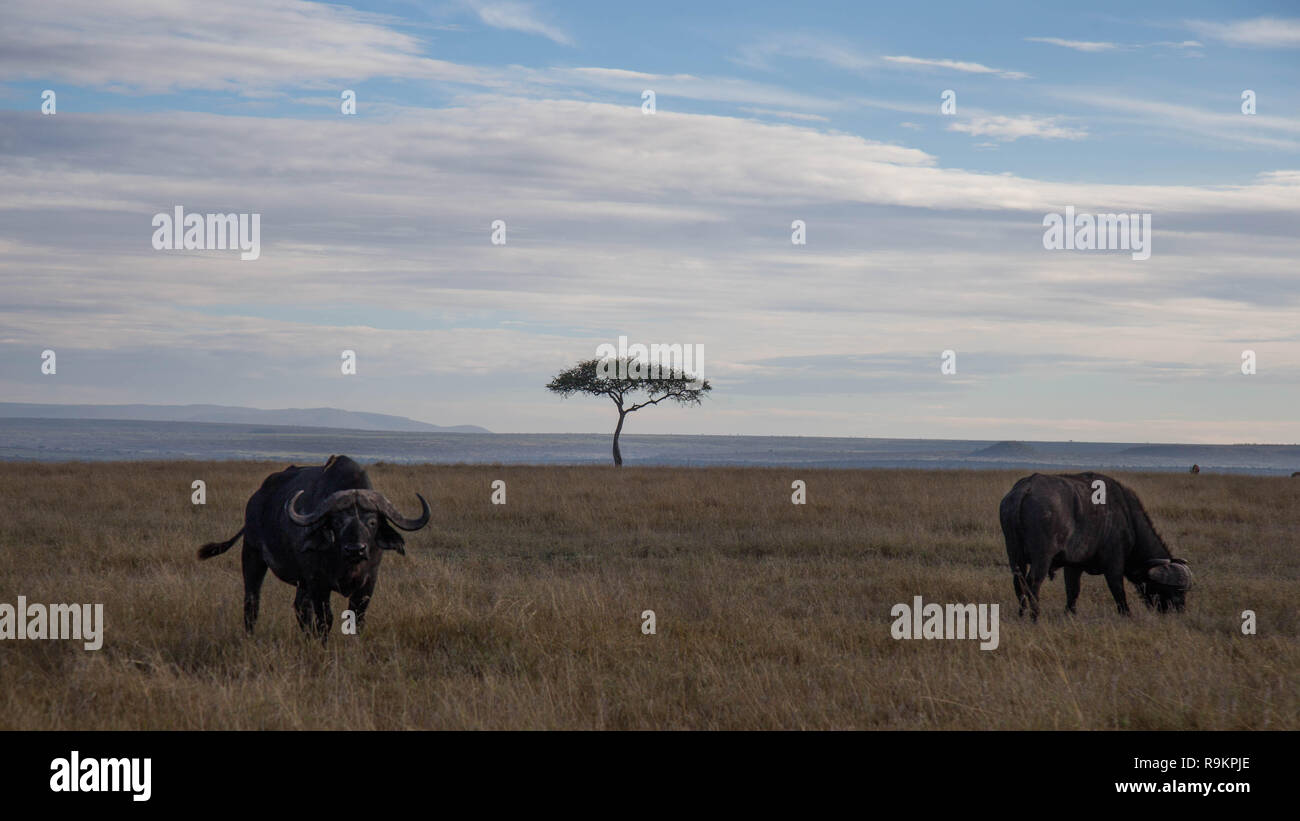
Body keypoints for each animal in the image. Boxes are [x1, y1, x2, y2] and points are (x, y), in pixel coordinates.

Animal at [197, 455, 430, 641]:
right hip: (252, 555)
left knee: (300, 608)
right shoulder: (318, 583)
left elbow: (357, 618)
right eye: (337, 522)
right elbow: (325, 619)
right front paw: (322, 644)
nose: (356, 549)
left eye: (372, 522)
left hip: (301, 581)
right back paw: (250, 636)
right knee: (252, 601)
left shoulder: (368, 582)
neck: (345, 562)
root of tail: (256, 499)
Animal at [999, 472, 1191, 620]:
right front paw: (1126, 614)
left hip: (1014, 553)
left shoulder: (1073, 565)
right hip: (1042, 556)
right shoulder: (1114, 563)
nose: (1179, 611)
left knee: (1018, 581)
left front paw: (1070, 613)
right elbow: (1117, 589)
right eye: (1174, 592)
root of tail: (1026, 488)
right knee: (1033, 581)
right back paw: (1035, 616)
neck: (1127, 515)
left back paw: (1022, 614)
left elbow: (1073, 590)